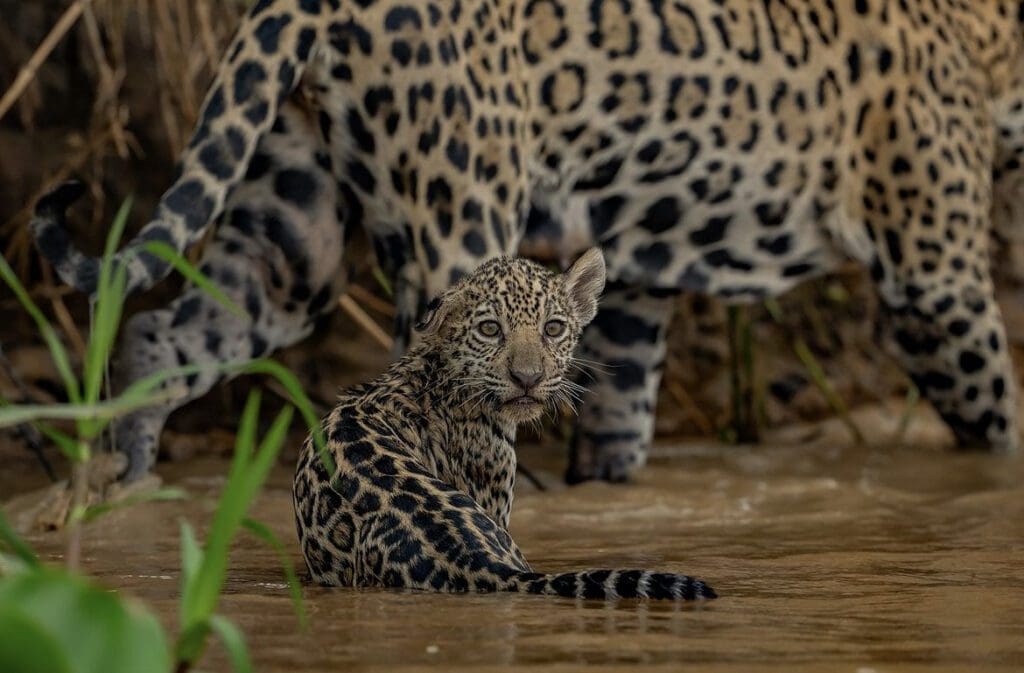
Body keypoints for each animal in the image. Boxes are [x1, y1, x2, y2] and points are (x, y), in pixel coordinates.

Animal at [31, 0, 1024, 486]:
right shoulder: (933, 277)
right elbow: (999, 407)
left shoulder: (632, 291)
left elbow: (621, 407)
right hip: (452, 213)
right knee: (424, 386)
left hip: (293, 225)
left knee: (165, 332)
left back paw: (126, 477)